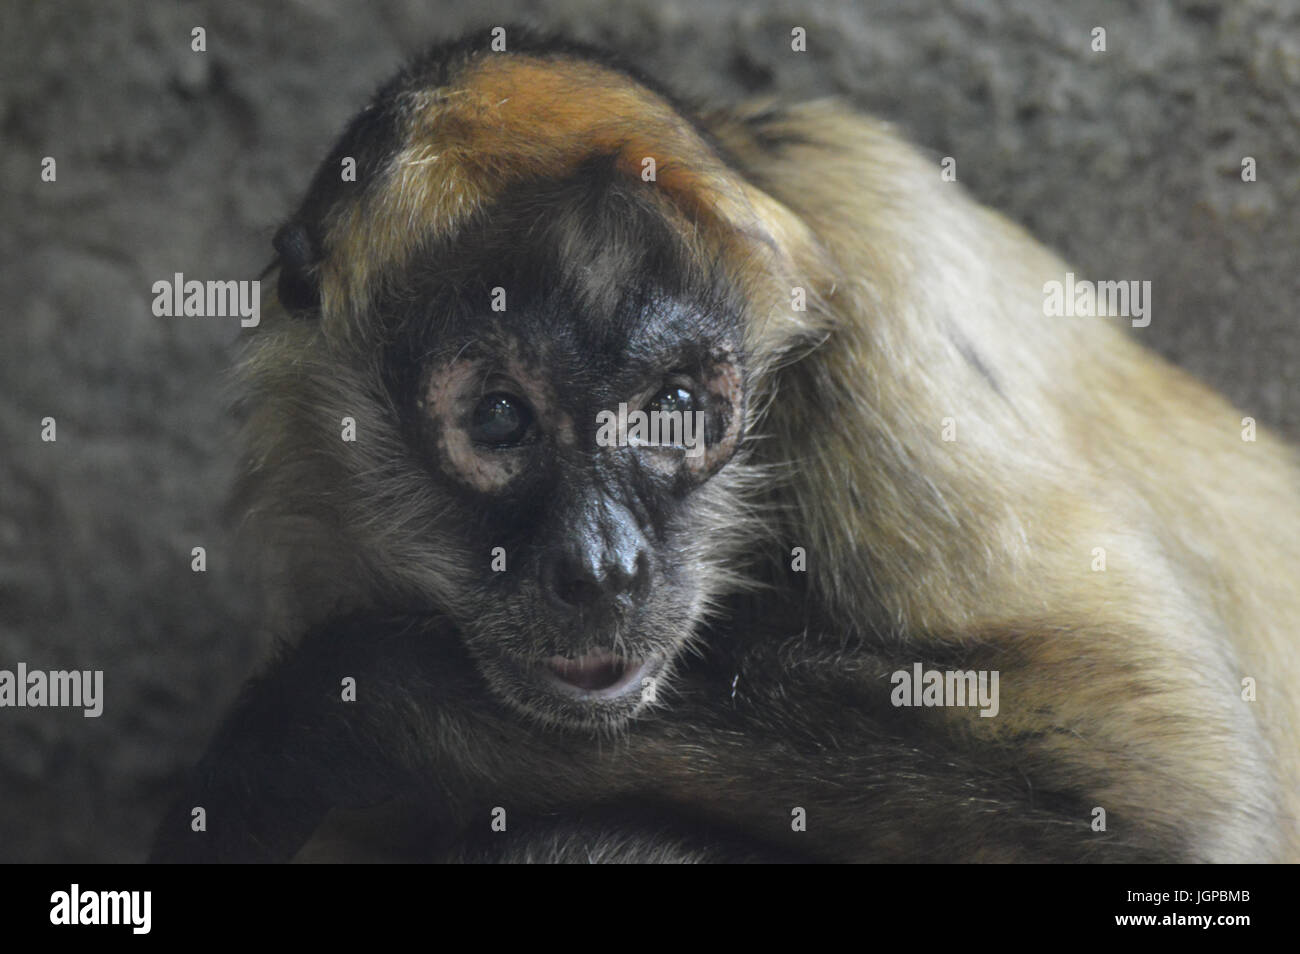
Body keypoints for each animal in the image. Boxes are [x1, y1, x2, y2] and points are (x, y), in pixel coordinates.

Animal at [151, 29, 1300, 863]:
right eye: (498, 420)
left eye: (672, 409)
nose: (603, 568)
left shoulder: (873, 275)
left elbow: (1153, 798)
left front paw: (305, 725)